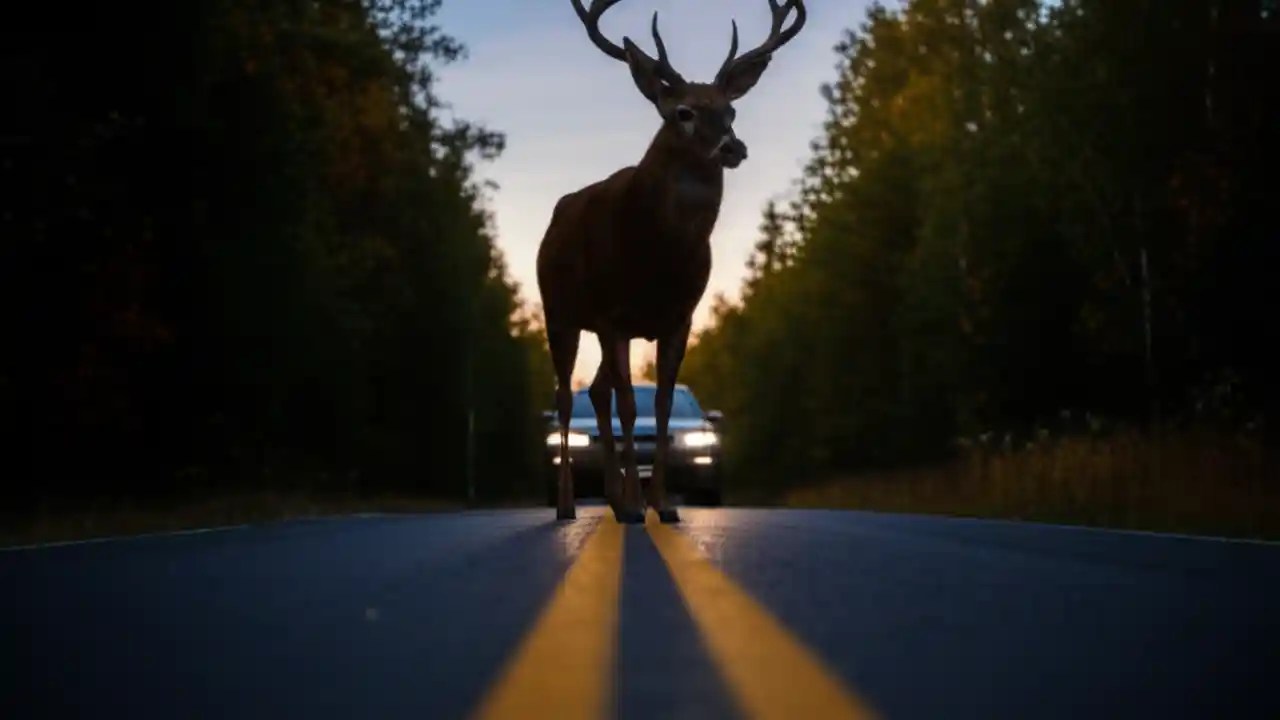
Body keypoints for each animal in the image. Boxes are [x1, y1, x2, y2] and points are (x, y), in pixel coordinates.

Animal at [538, 0, 808, 524]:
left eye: (730, 110)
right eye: (683, 112)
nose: (732, 147)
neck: (659, 257)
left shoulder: (679, 316)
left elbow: (660, 404)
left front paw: (661, 505)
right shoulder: (614, 315)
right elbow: (628, 406)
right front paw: (637, 505)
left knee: (596, 390)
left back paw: (614, 498)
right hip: (559, 312)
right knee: (565, 396)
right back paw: (568, 505)